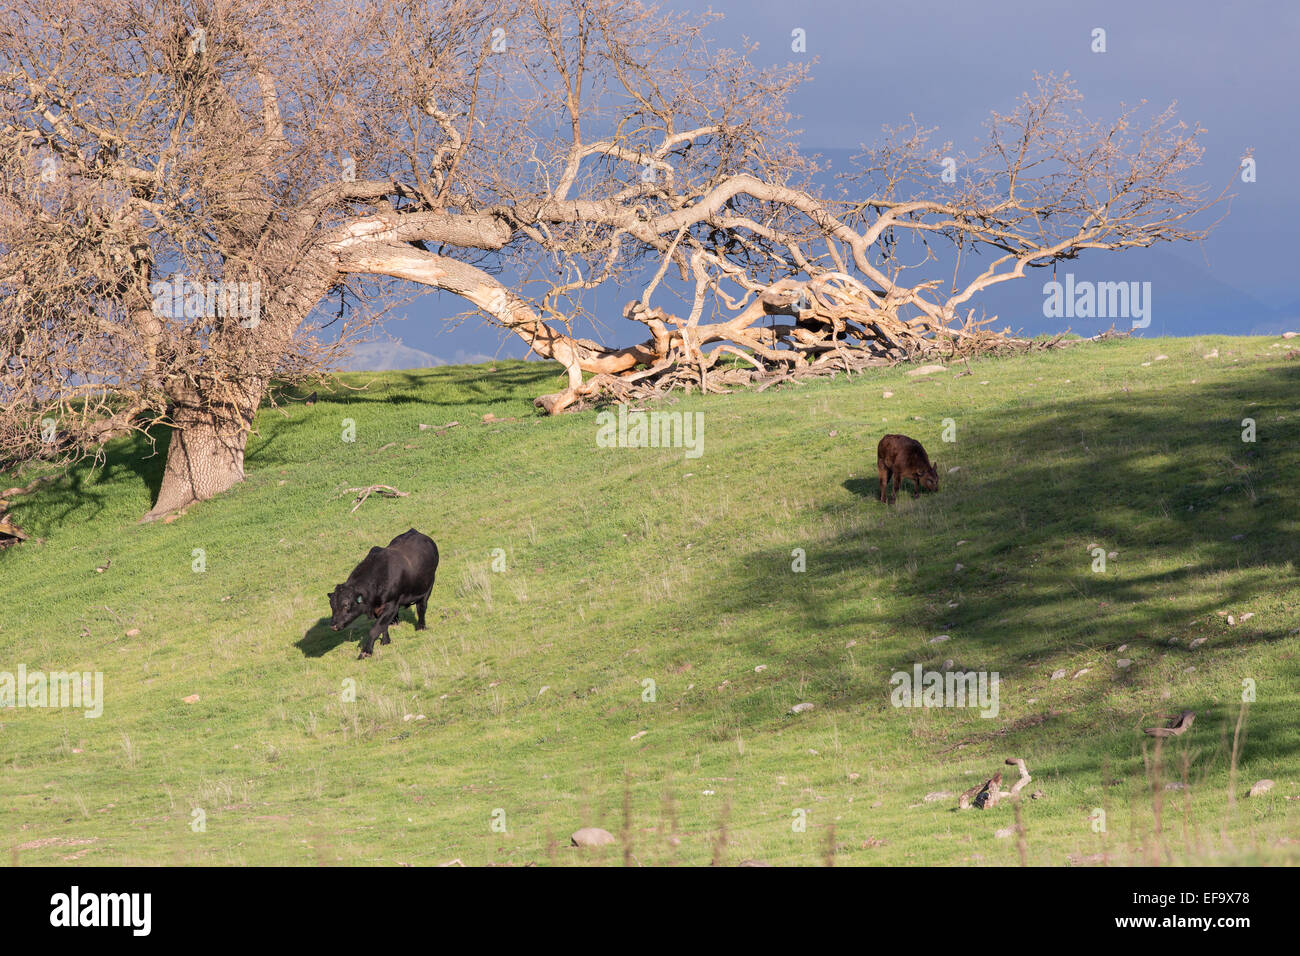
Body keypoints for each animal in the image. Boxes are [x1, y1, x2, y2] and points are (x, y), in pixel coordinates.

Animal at [327, 528, 439, 659]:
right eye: (332, 606)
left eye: (346, 605)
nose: (333, 625)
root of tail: (415, 531)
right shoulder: (379, 609)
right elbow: (383, 626)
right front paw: (386, 641)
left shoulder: (391, 604)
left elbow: (375, 629)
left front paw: (366, 651)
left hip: (428, 586)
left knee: (421, 607)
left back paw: (421, 627)